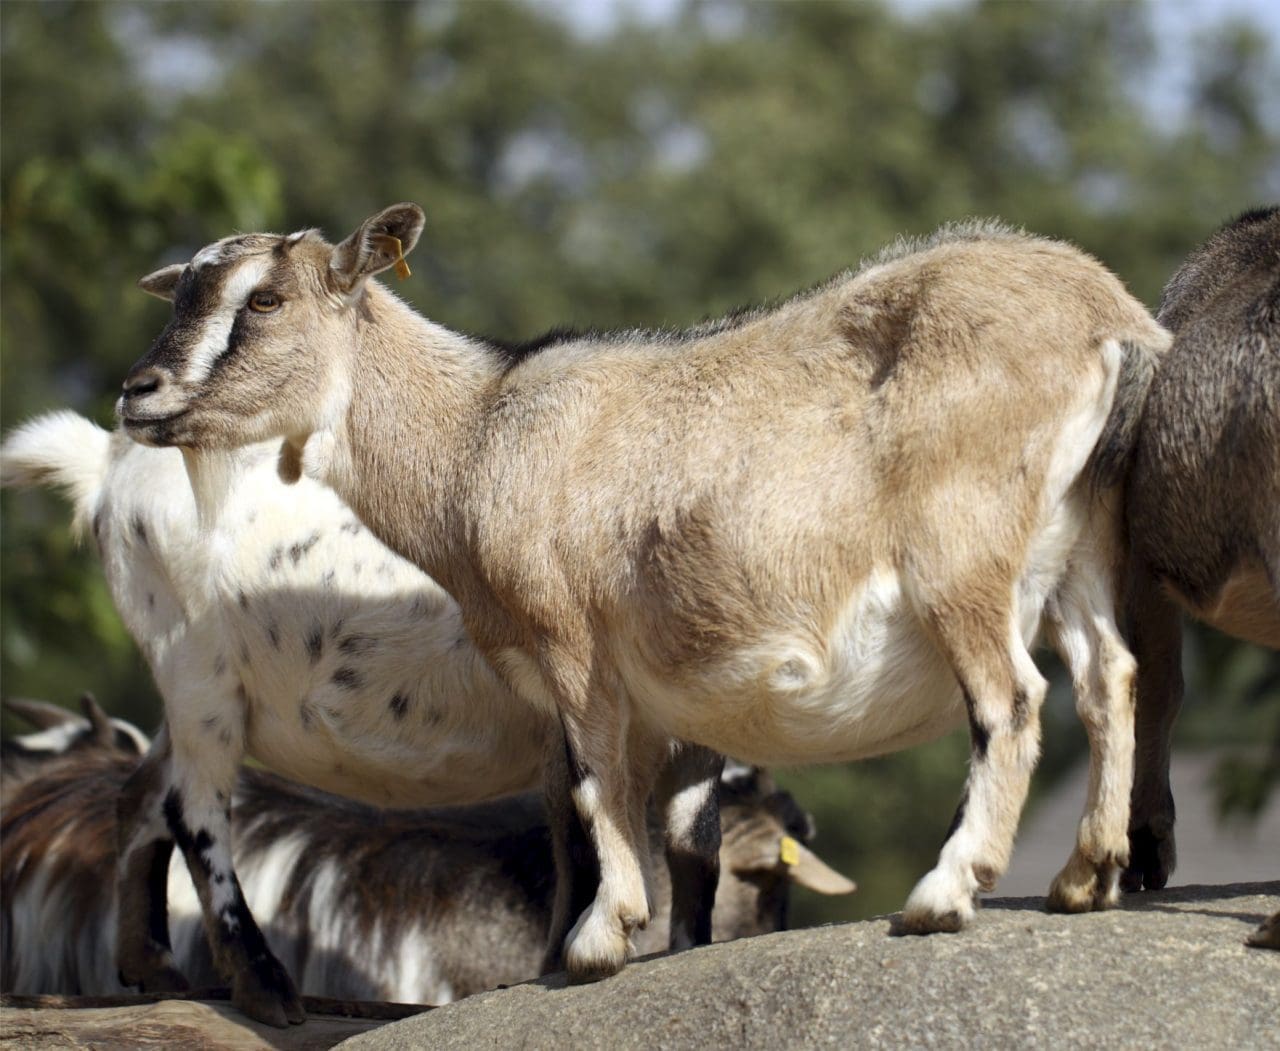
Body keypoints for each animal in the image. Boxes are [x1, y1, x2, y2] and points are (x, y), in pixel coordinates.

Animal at [1, 410, 727, 1024]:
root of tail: (106, 463)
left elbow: (694, 845)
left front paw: (687, 951)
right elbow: (583, 837)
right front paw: (568, 965)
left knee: (141, 793)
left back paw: (151, 965)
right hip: (195, 667)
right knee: (192, 810)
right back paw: (262, 983)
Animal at [117, 204, 1170, 982]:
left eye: (265, 298)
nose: (139, 393)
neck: (477, 437)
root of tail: (1113, 321)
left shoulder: (573, 643)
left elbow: (594, 787)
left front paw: (597, 939)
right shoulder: (670, 692)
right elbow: (666, 825)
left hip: (966, 550)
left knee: (1014, 697)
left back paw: (944, 894)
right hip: (1080, 542)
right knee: (1110, 676)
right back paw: (1086, 875)